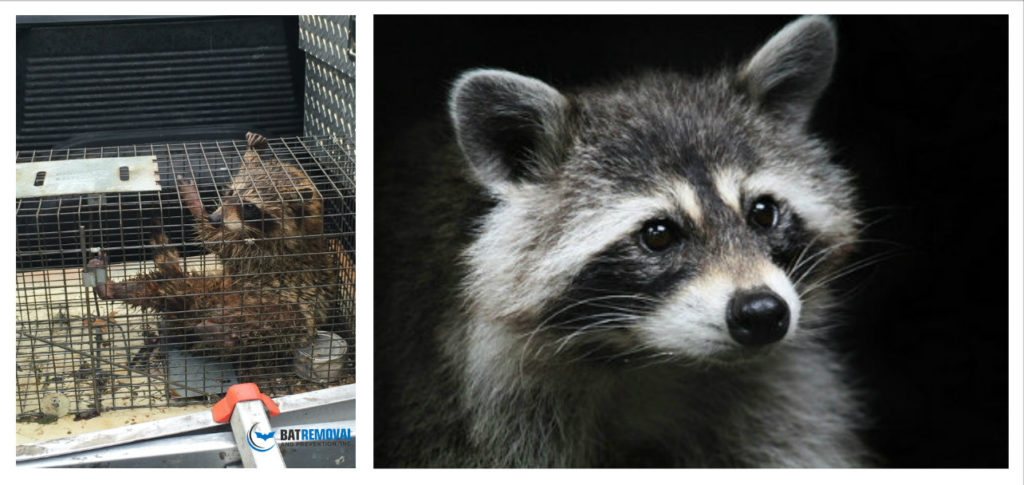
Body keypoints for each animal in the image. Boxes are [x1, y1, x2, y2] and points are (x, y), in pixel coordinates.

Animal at [93, 132, 340, 377]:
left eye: (249, 207)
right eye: (230, 193)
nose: (214, 218)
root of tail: (194, 313)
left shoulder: (271, 255)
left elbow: (219, 243)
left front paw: (200, 212)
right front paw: (253, 153)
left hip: (282, 314)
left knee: (281, 320)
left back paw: (219, 333)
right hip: (209, 286)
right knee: (160, 288)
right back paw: (112, 288)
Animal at [376, 16, 870, 467]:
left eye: (763, 213)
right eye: (658, 234)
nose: (763, 312)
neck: (651, 359)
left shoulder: (777, 400)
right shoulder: (476, 408)